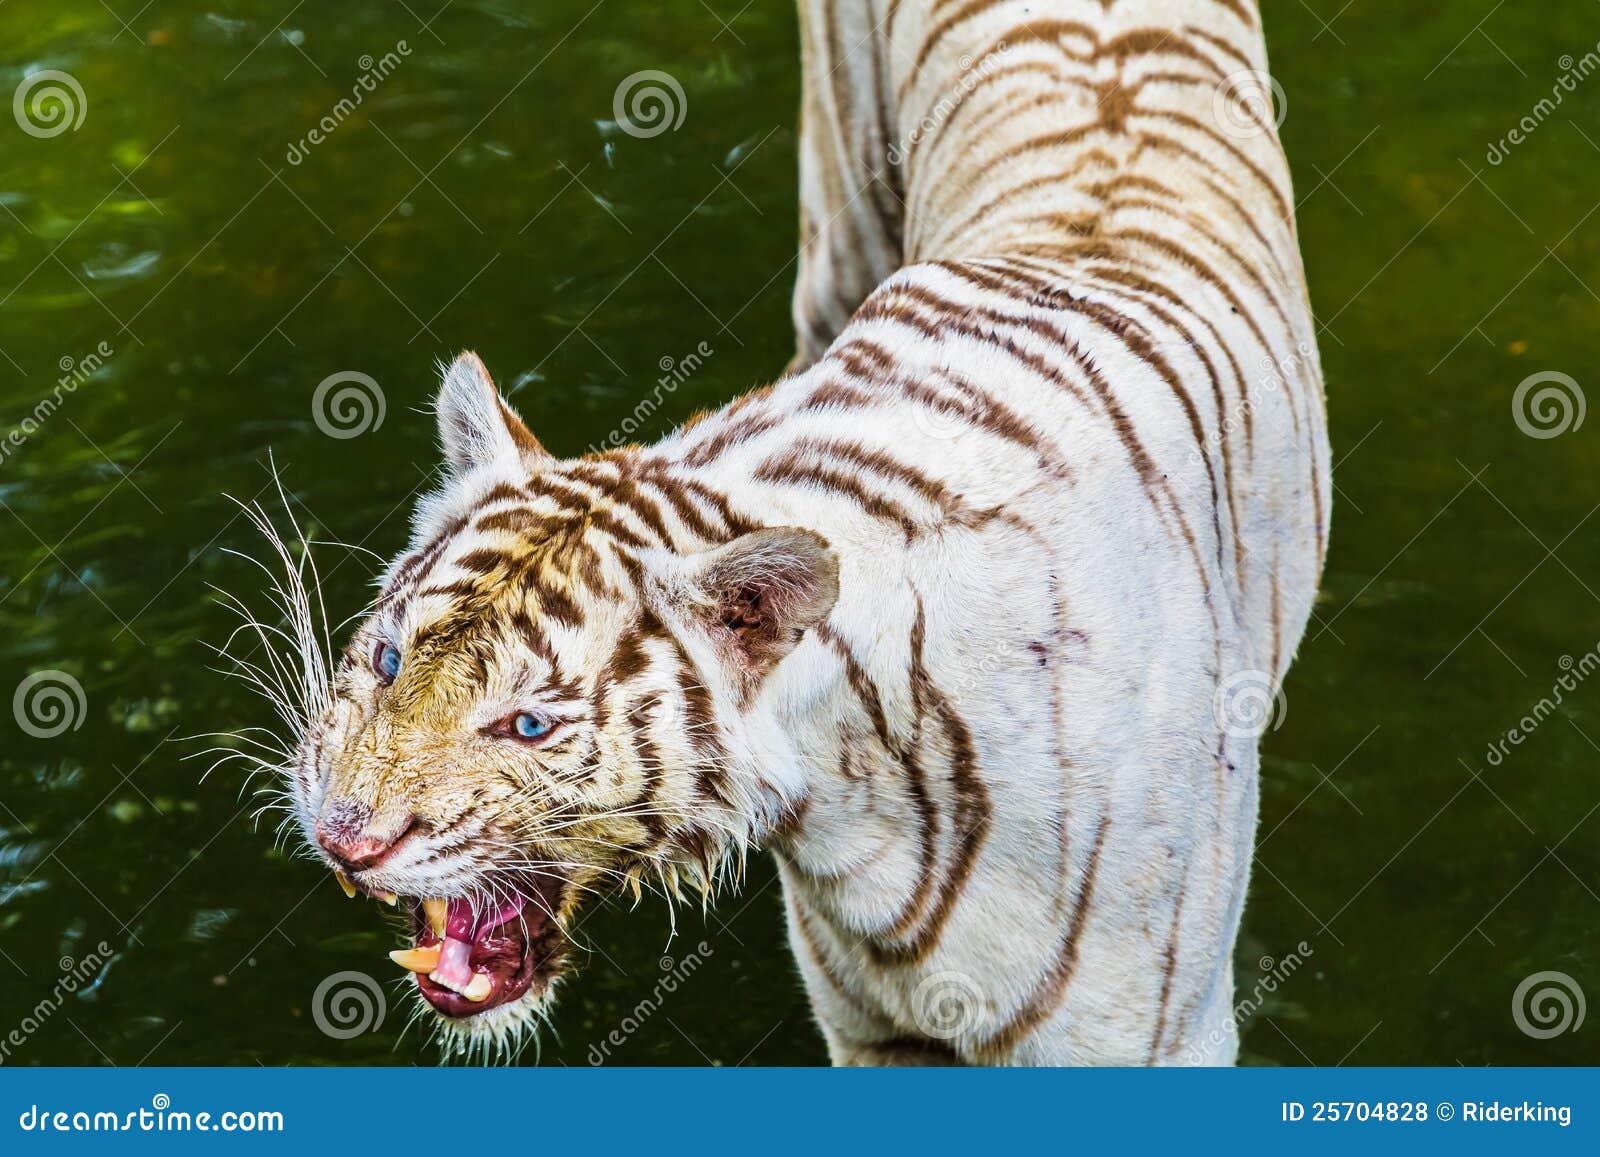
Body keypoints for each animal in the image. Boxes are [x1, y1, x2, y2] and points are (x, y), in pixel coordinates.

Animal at [253, 0, 1328, 1066]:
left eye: (529, 725)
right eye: (390, 660)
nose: (345, 839)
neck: (850, 802)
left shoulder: (1150, 1037)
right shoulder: (870, 1027)